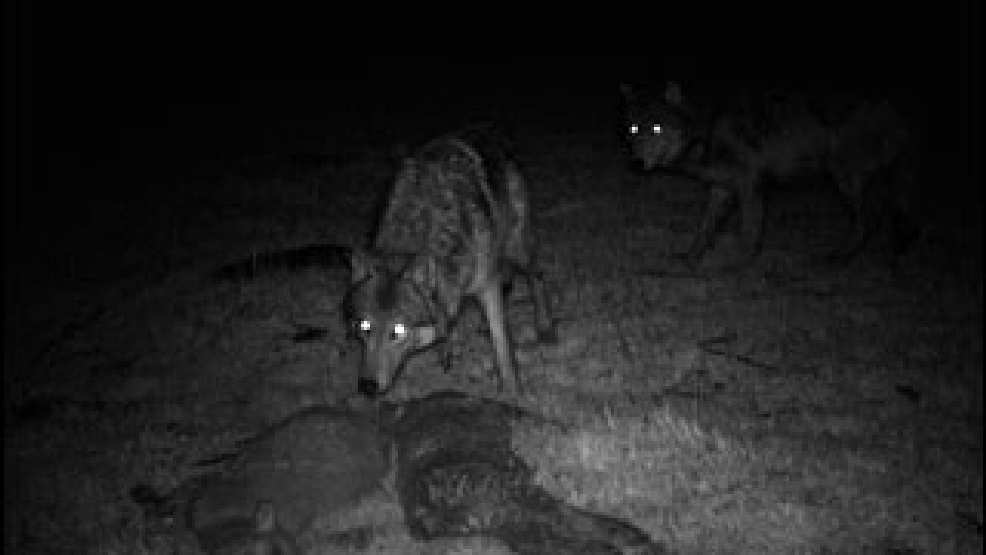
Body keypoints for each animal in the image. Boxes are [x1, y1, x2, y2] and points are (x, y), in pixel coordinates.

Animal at [343, 125, 556, 396]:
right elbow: (448, 319)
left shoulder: (487, 285)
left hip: (518, 248)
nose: (367, 387)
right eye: (364, 327)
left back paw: (545, 329)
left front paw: (511, 391)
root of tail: (492, 133)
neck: (422, 224)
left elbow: (502, 345)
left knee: (536, 276)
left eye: (398, 331)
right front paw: (445, 350)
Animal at [621, 82, 919, 269]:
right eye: (634, 129)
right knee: (893, 221)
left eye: (657, 128)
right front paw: (688, 261)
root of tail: (897, 110)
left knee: (869, 221)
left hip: (846, 180)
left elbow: (749, 237)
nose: (636, 163)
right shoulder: (722, 190)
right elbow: (704, 230)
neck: (709, 130)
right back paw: (891, 260)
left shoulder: (750, 187)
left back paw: (837, 259)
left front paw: (734, 269)